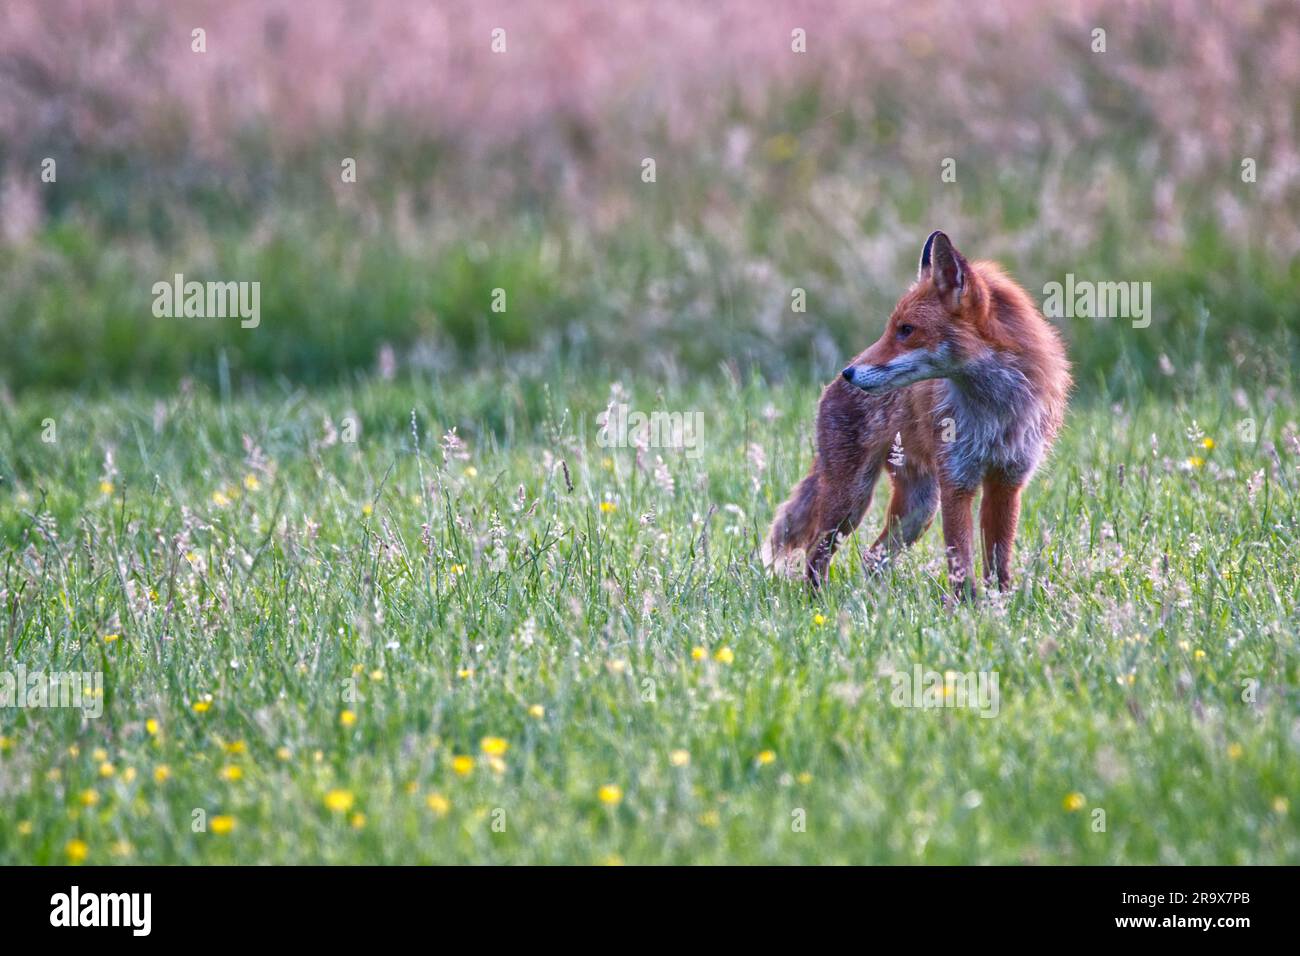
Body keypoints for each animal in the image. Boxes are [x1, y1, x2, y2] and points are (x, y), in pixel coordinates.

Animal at [762, 230, 1071, 596]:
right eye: (892, 328)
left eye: (906, 329)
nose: (849, 373)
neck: (996, 409)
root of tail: (829, 390)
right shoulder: (958, 480)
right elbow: (961, 561)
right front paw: (966, 606)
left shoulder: (1008, 480)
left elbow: (998, 562)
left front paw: (999, 603)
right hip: (852, 503)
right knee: (816, 553)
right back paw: (818, 601)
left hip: (918, 509)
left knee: (872, 558)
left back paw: (875, 601)